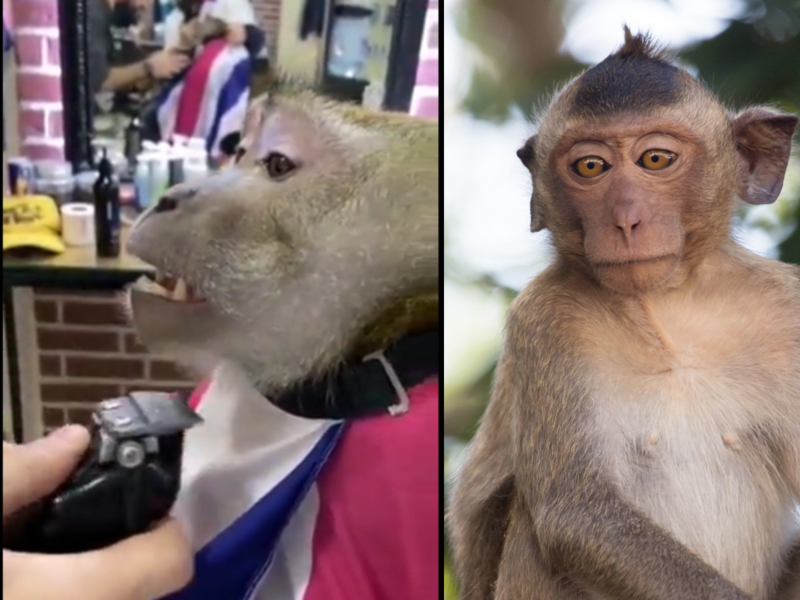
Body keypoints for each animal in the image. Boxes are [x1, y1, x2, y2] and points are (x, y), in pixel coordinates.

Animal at [447, 27, 799, 600]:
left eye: (655, 159)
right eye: (591, 167)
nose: (626, 219)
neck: (668, 306)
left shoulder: (787, 310)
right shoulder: (545, 319)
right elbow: (578, 513)